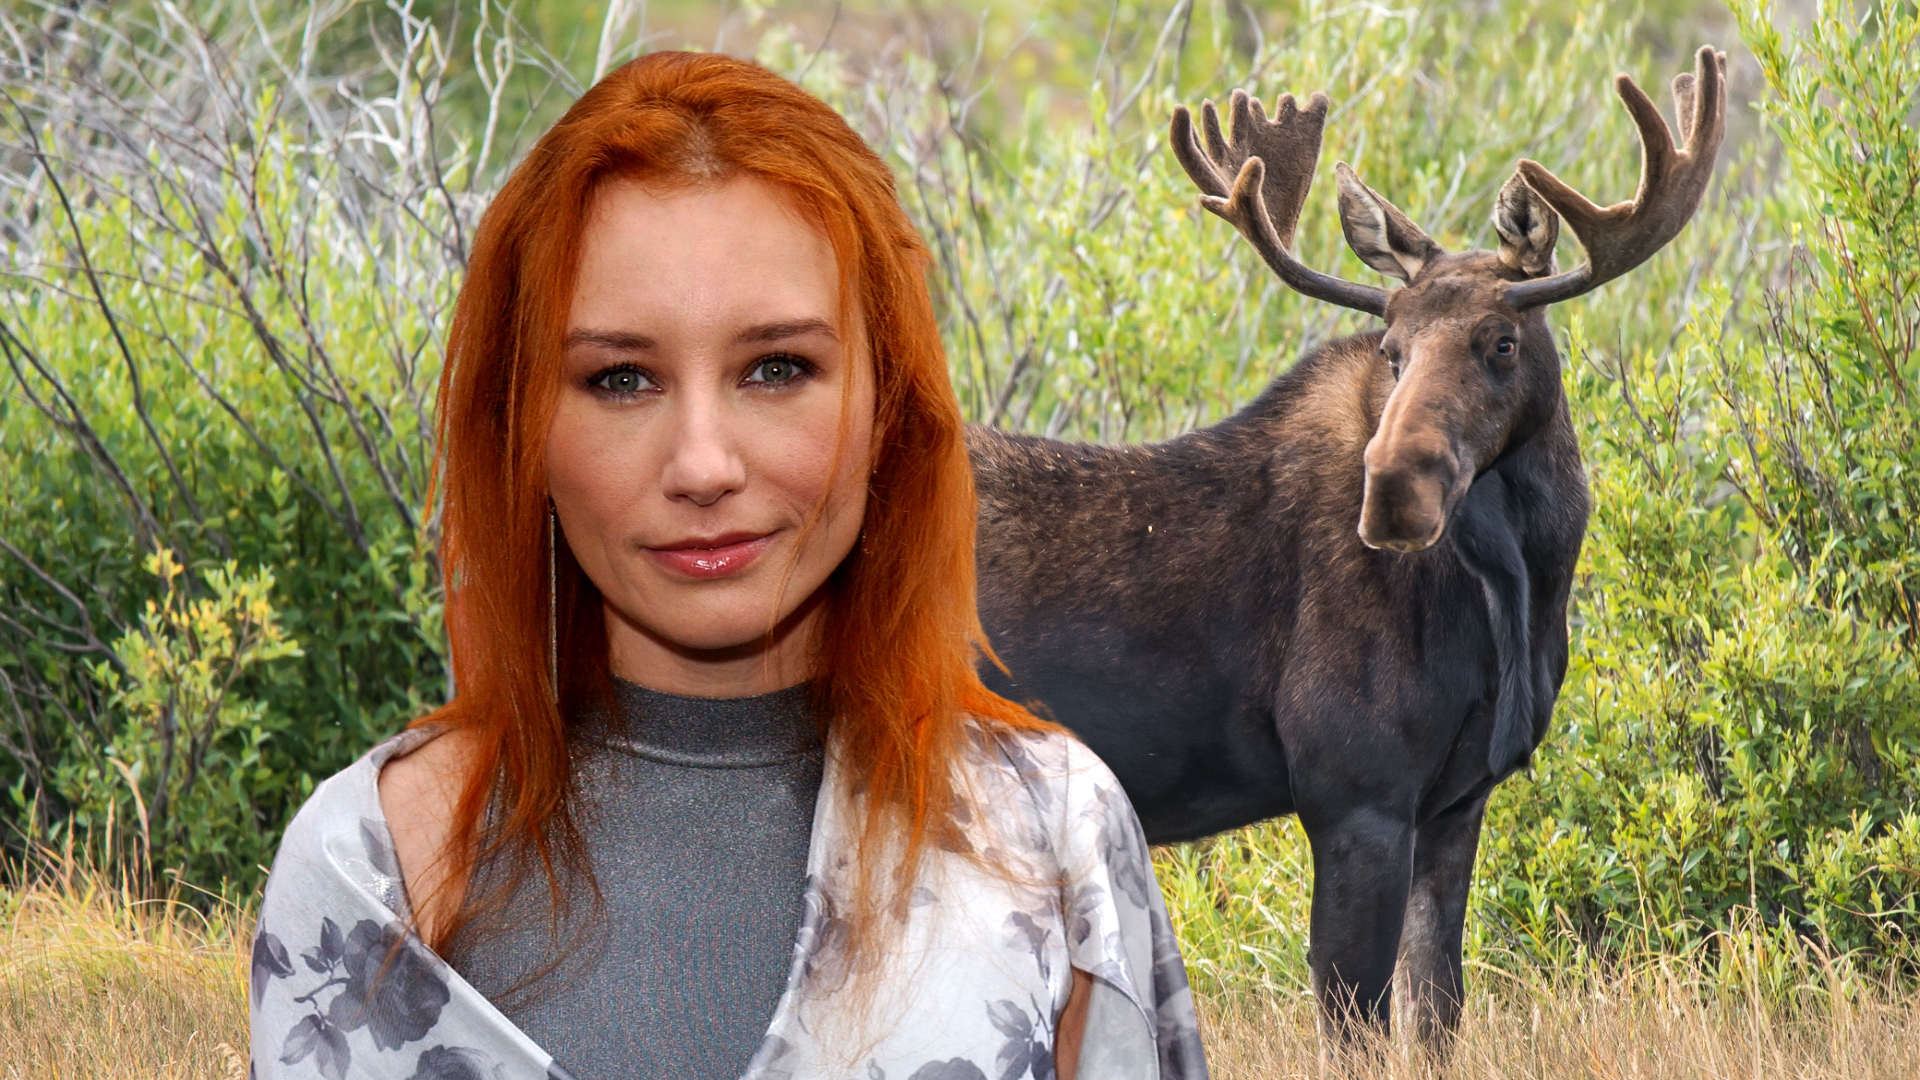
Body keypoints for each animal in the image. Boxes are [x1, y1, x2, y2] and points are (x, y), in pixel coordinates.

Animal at [967, 47, 1726, 1049]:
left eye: (1501, 340)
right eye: (1393, 349)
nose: (1395, 491)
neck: (1520, 592)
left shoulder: (1454, 805)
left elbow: (1437, 1015)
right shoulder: (1354, 797)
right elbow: (1357, 1025)